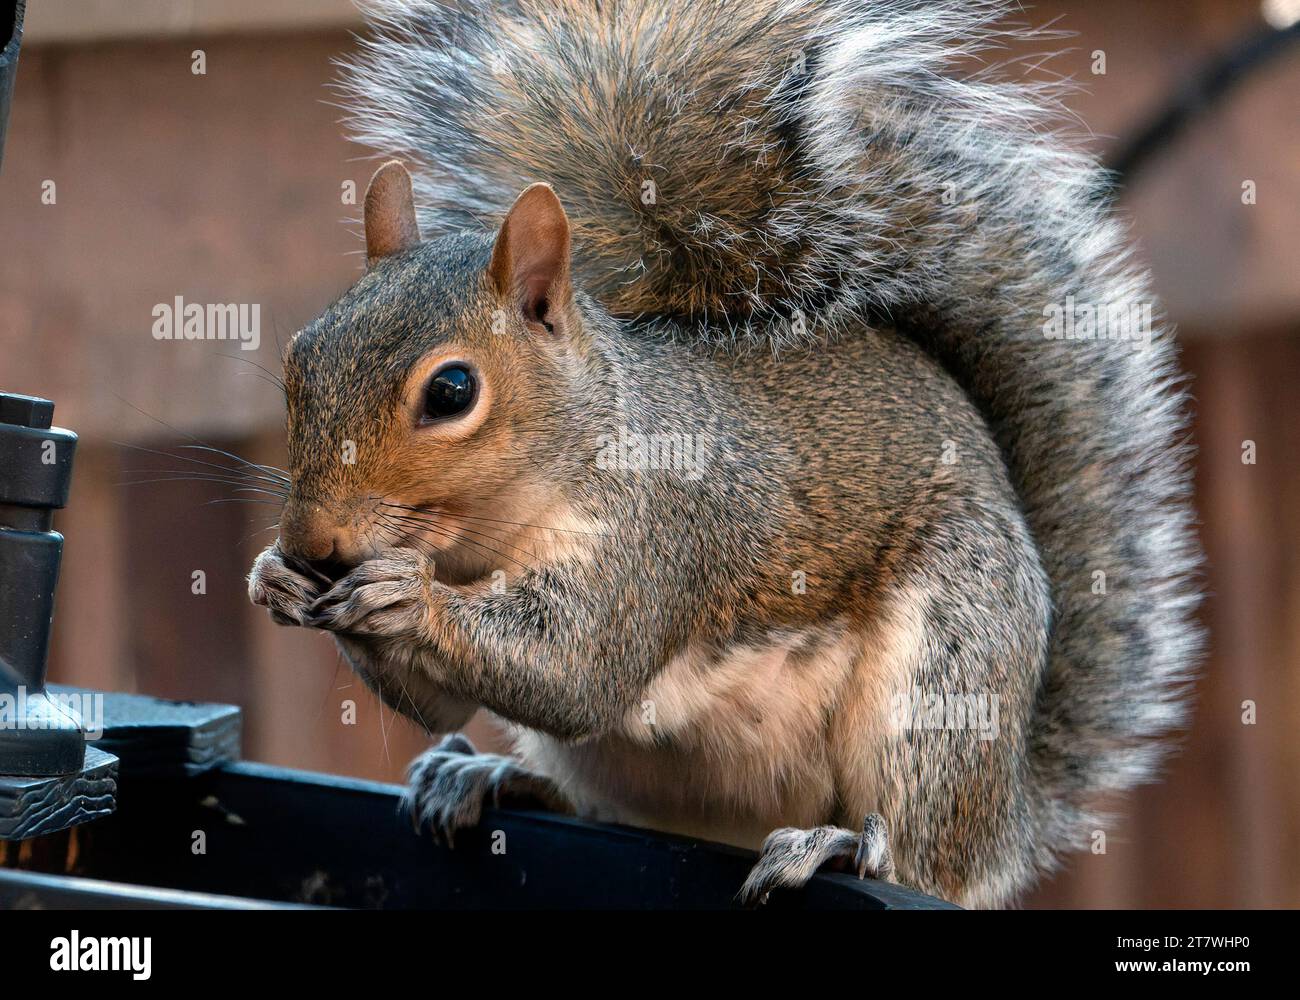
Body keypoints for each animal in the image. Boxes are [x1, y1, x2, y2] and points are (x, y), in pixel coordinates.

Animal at [247, 0, 1203, 907]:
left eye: (451, 392)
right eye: (299, 357)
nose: (311, 543)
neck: (486, 535)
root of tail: (1008, 818)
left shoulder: (658, 537)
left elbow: (574, 671)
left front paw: (407, 597)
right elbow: (444, 698)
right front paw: (278, 580)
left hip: (944, 669)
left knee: (920, 851)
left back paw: (839, 845)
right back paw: (486, 776)